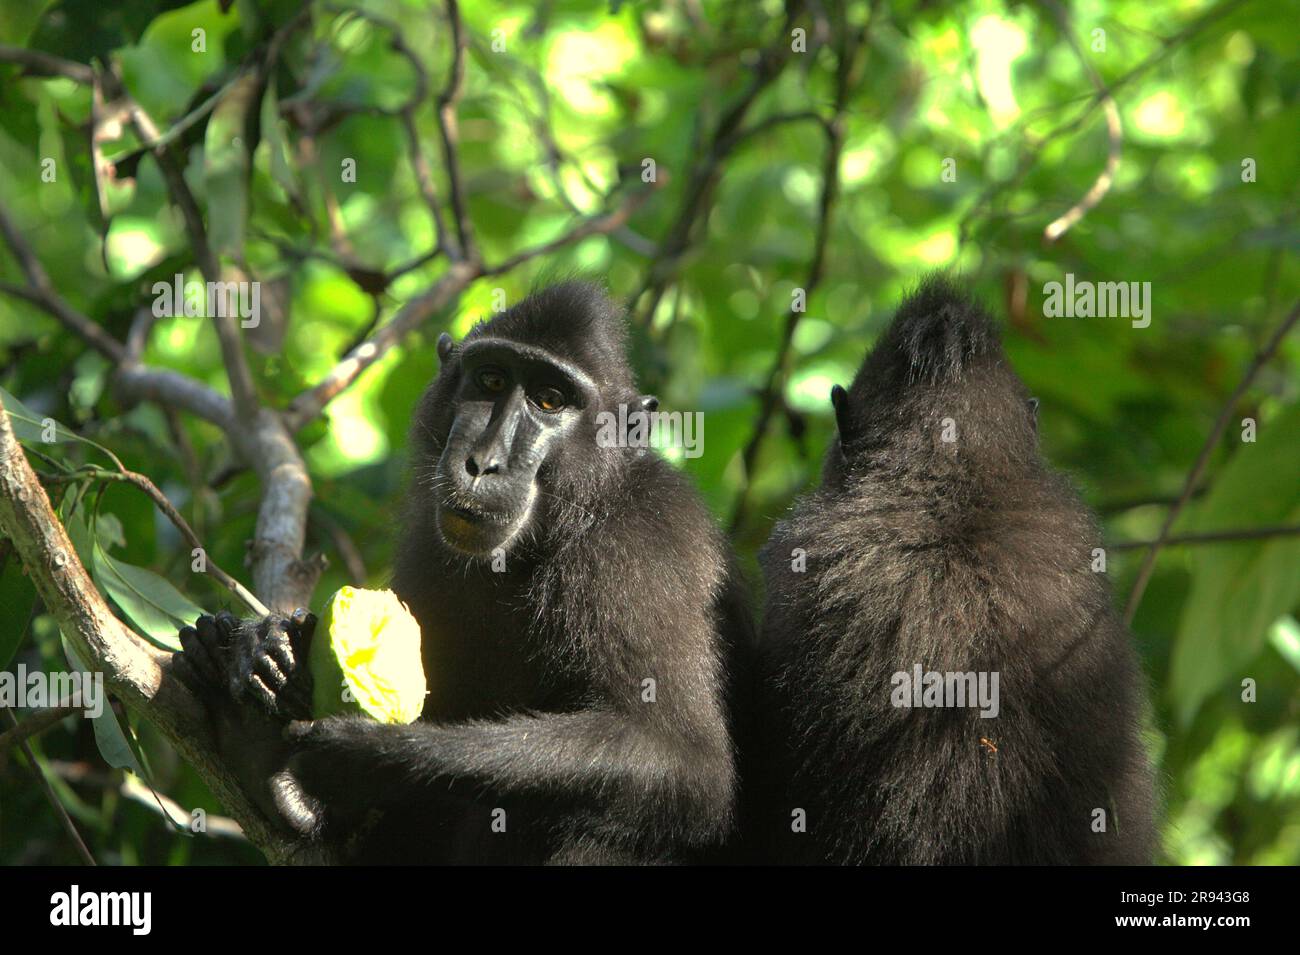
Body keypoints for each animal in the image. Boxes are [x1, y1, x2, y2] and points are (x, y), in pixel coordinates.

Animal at [173, 281, 754, 864]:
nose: (483, 463)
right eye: (491, 380)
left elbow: (682, 761)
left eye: (550, 399)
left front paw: (367, 754)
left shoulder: (647, 547)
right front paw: (271, 641)